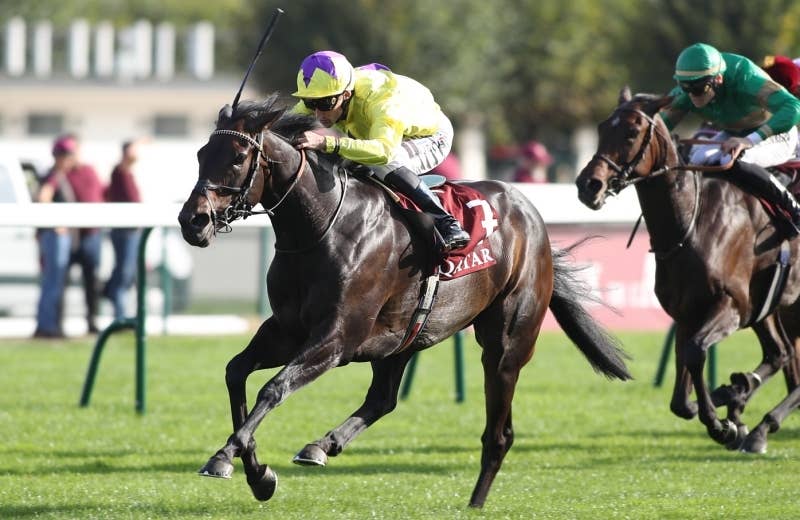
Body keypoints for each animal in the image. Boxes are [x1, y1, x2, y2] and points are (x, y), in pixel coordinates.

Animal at [177, 94, 631, 508]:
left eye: (238, 157)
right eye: (200, 154)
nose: (191, 221)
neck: (322, 226)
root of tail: (532, 217)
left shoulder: (336, 338)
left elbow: (274, 388)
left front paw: (224, 457)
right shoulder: (287, 330)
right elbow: (236, 372)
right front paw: (257, 474)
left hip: (506, 344)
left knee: (498, 433)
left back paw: (475, 503)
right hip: (401, 338)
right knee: (383, 399)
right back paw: (321, 445)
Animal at [575, 87, 800, 453]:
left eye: (632, 131)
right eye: (601, 127)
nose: (589, 185)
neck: (691, 221)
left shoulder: (732, 306)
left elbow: (695, 353)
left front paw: (722, 424)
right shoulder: (686, 312)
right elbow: (680, 397)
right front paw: (728, 406)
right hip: (773, 307)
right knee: (780, 354)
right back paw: (752, 413)